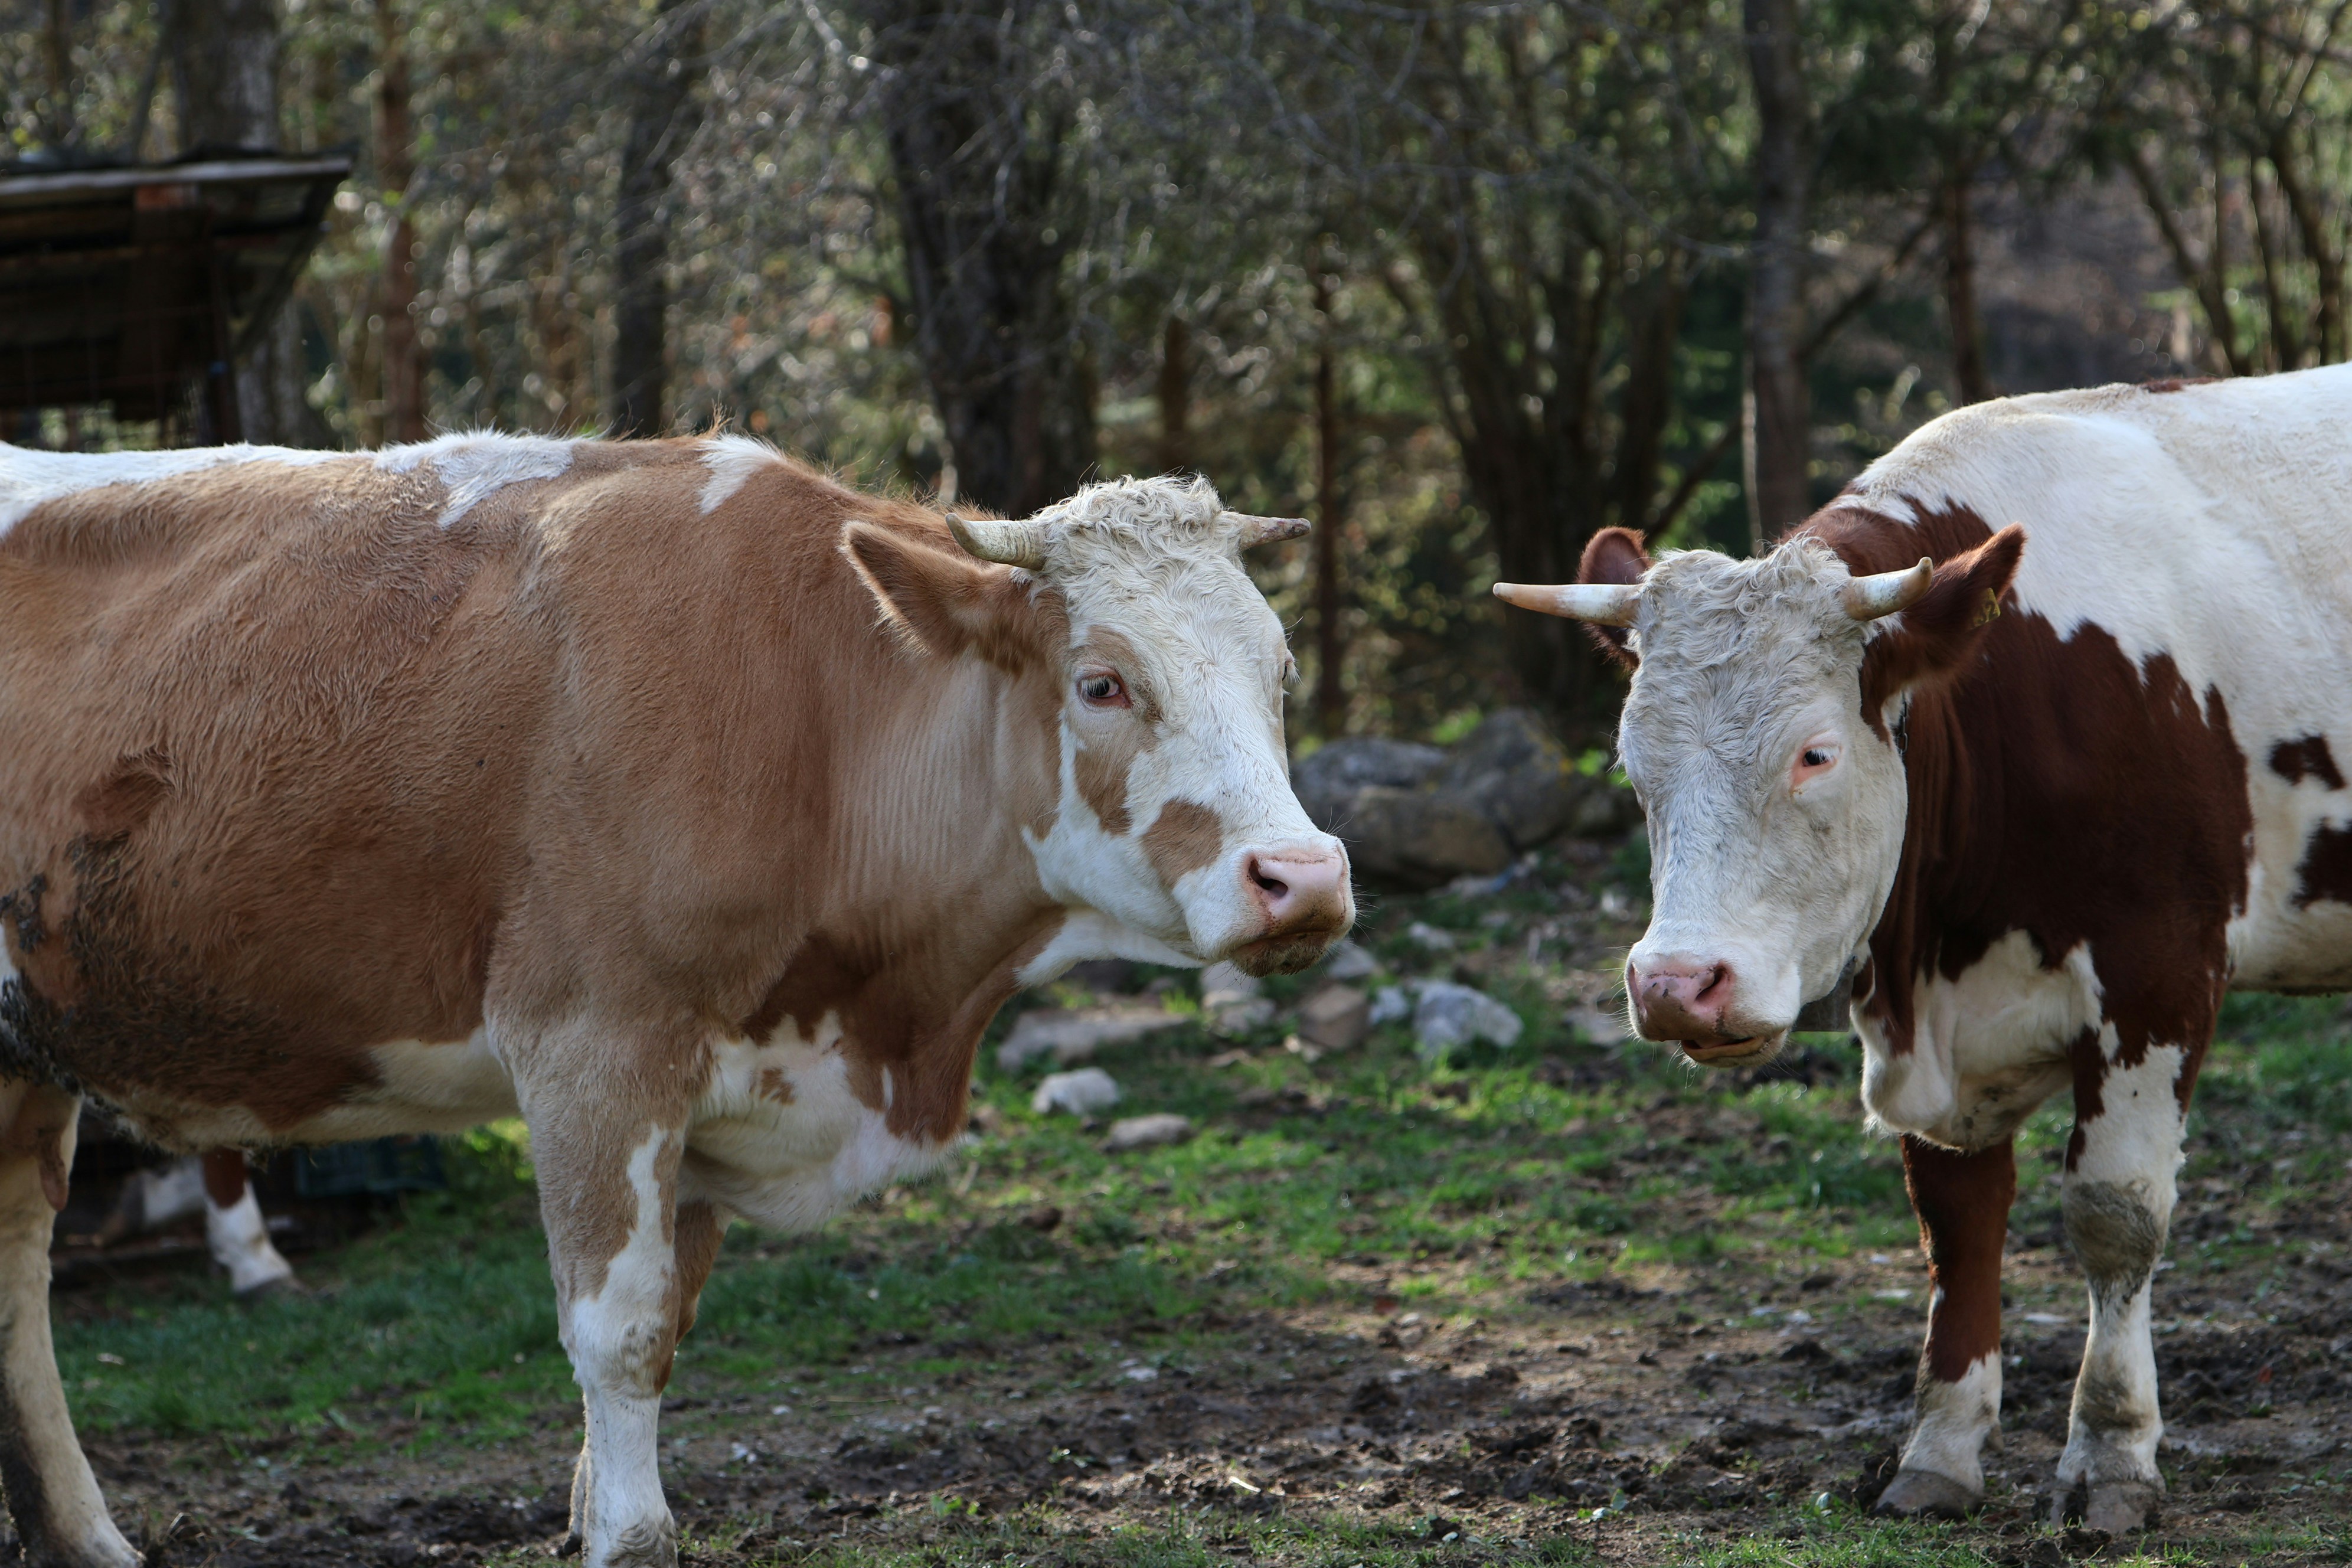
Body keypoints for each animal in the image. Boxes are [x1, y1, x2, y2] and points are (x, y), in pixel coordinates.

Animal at [0, 433, 1354, 1567]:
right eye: (1102, 683)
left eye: (1282, 669)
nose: (1303, 877)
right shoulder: (594, 1046)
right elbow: (618, 1327)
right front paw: (631, 1530)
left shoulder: (707, 1100)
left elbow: (662, 1327)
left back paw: (86, 1538)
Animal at [1494, 365, 2352, 1534]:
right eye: (1633, 761)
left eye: (1814, 754)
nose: (1675, 986)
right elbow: (1957, 1222)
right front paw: (1940, 1450)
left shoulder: (2161, 970)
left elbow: (2115, 1213)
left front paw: (2111, 1455)